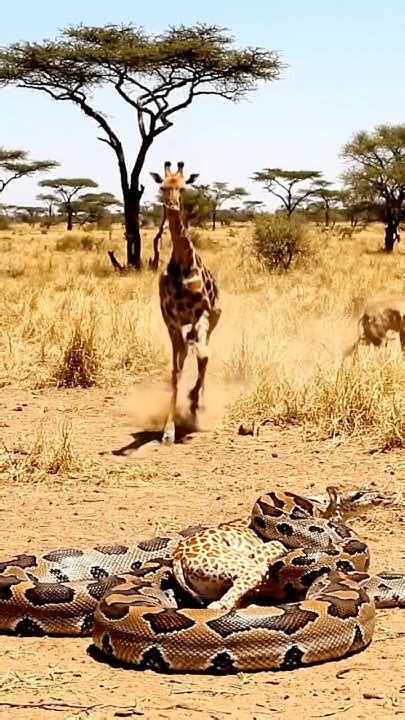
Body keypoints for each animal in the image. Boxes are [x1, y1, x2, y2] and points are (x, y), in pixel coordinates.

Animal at [150, 161, 222, 444]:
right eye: (162, 186)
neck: (182, 265)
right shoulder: (171, 321)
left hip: (213, 319)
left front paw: (195, 404)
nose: (171, 206)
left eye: (182, 187)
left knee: (204, 353)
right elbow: (176, 371)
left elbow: (203, 356)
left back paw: (197, 402)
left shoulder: (202, 313)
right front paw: (168, 430)